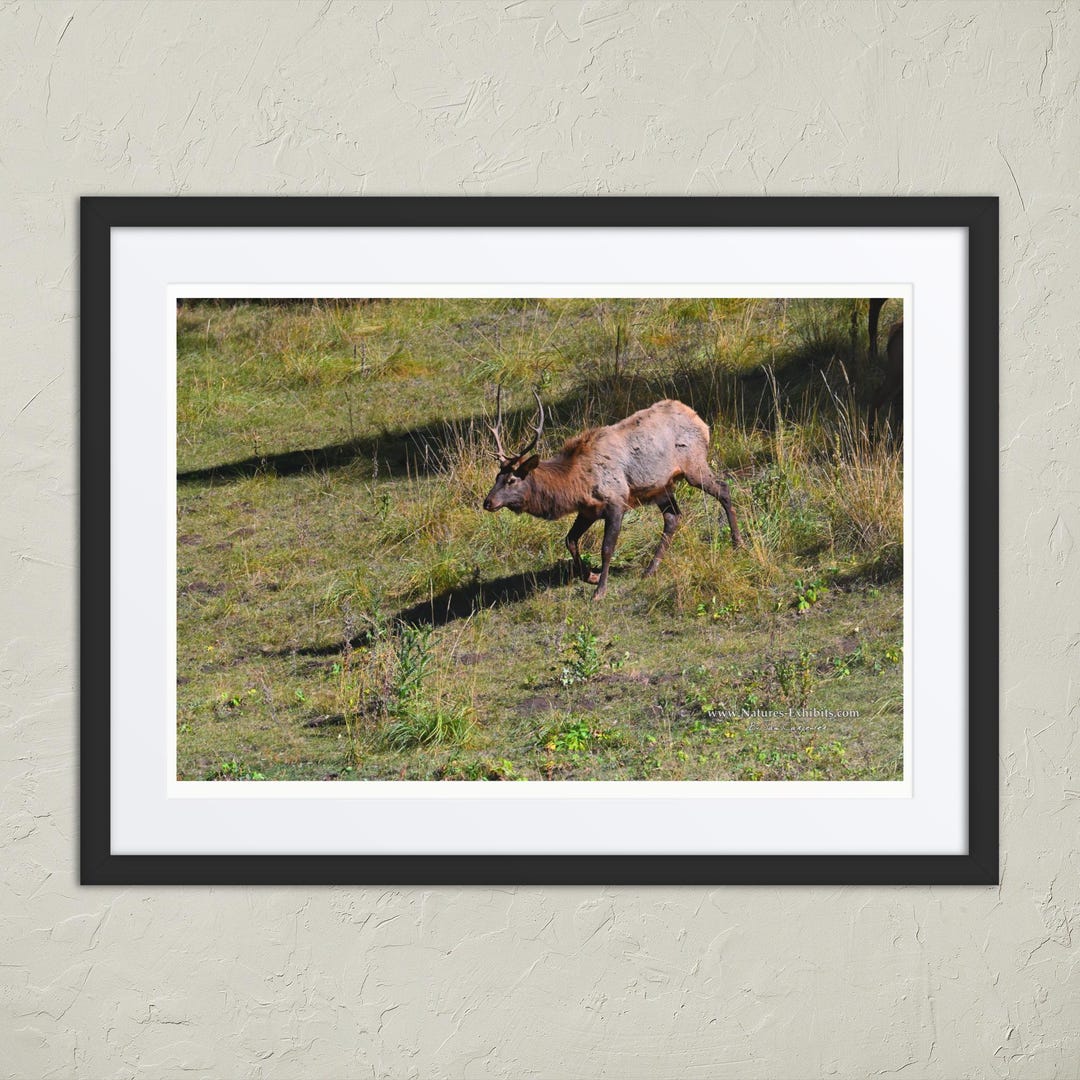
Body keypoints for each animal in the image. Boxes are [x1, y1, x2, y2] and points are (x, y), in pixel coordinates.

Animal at [481, 389, 742, 599]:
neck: (575, 482)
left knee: (724, 489)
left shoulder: (616, 502)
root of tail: (701, 422)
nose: (488, 502)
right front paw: (591, 576)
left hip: (693, 466)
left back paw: (737, 543)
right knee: (673, 517)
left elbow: (606, 548)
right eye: (496, 478)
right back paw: (650, 570)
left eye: (512, 480)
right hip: (661, 486)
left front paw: (600, 591)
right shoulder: (588, 510)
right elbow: (570, 540)